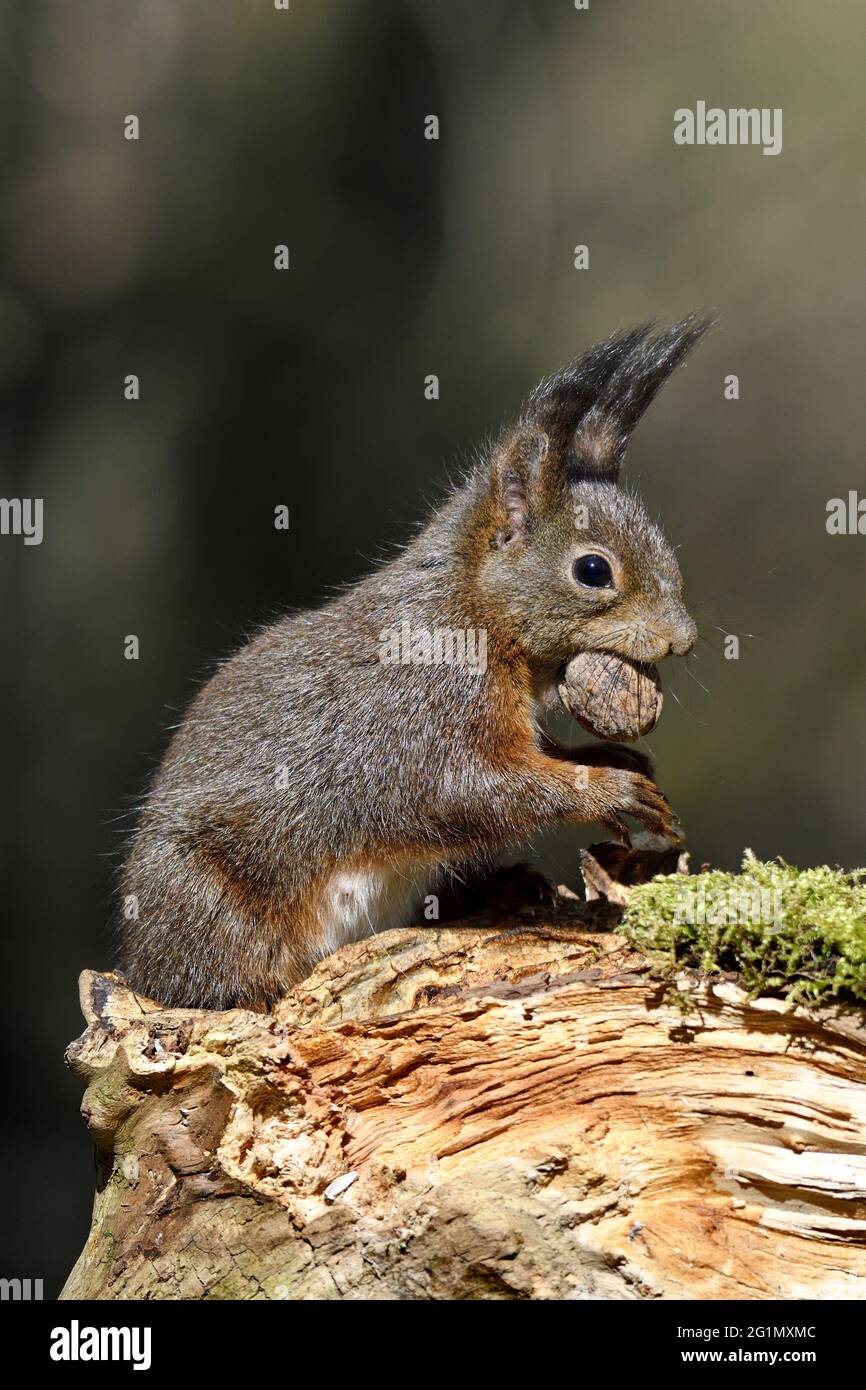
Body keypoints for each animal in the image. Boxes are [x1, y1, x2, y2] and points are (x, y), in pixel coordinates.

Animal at [119, 316, 709, 1010]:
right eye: (593, 570)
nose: (684, 638)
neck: (471, 612)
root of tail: (144, 963)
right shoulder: (422, 712)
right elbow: (469, 792)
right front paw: (607, 788)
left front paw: (615, 759)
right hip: (210, 901)